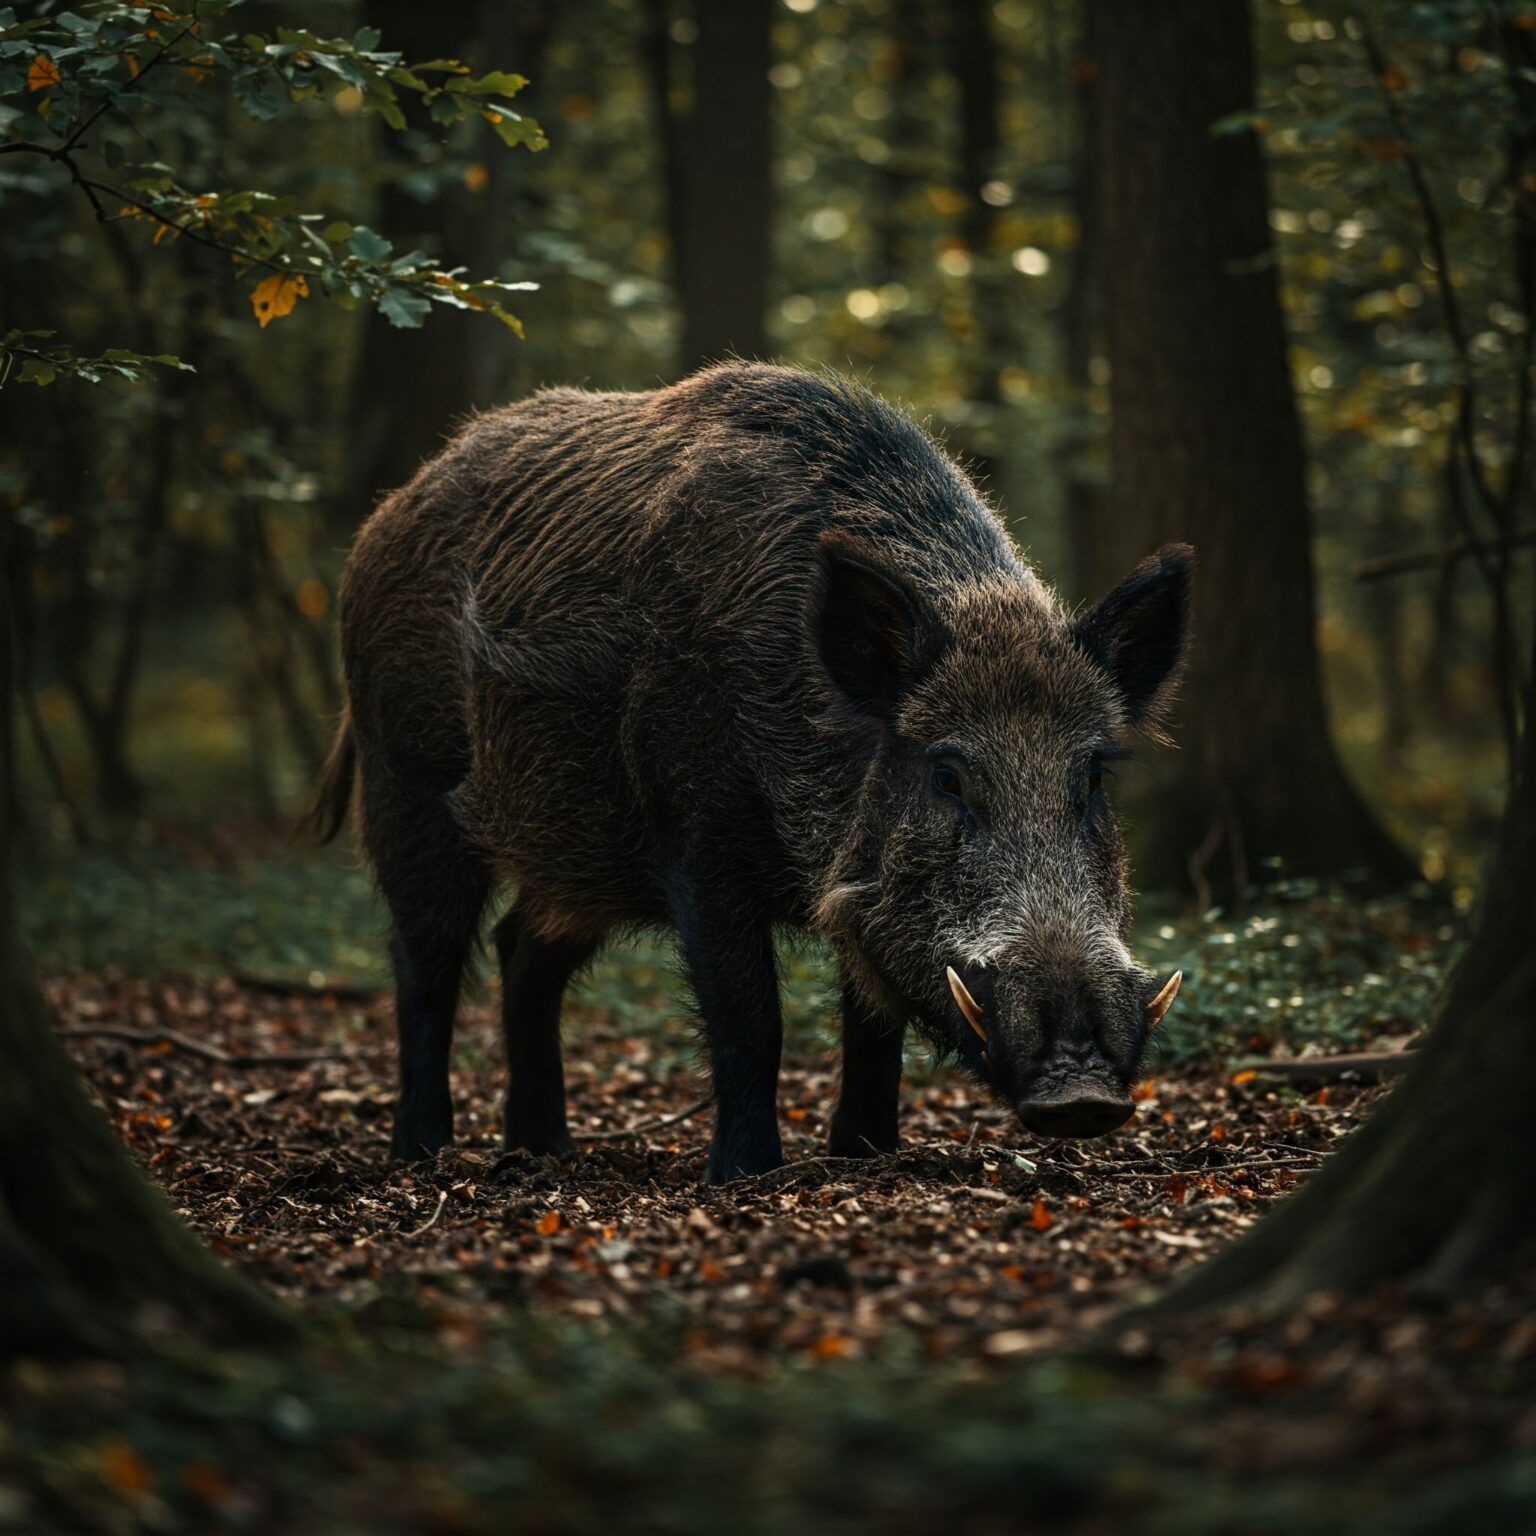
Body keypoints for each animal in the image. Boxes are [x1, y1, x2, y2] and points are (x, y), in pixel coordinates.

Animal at [310, 363, 1191, 1182]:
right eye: (946, 775)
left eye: (1092, 778)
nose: (1082, 1095)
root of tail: (381, 520)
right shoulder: (697, 841)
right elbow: (750, 1014)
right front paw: (746, 1171)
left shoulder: (851, 881)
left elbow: (872, 1024)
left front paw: (865, 1153)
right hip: (405, 777)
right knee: (424, 958)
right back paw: (423, 1151)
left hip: (579, 854)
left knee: (522, 948)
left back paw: (545, 1150)